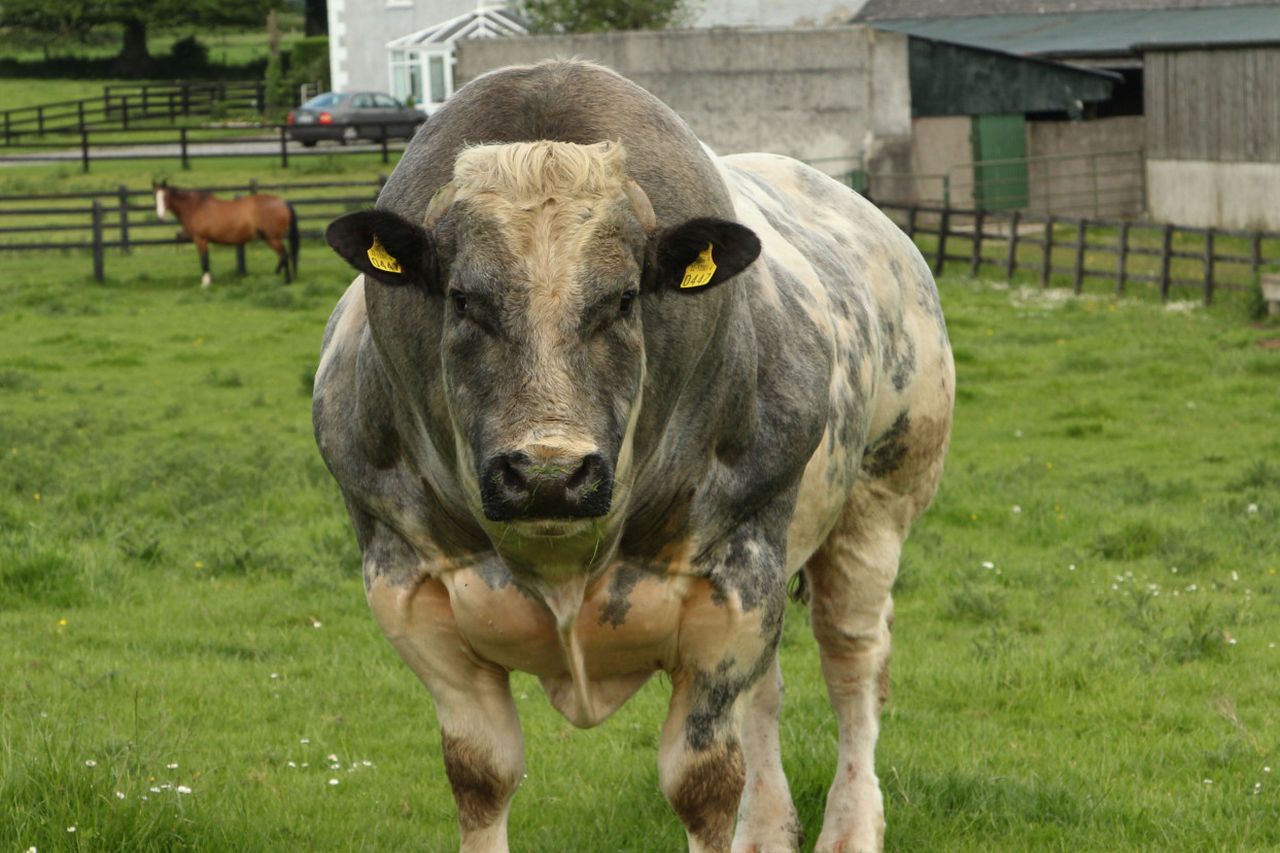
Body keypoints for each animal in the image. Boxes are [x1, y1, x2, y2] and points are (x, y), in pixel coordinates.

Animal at [315, 60, 953, 853]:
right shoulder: (409, 585)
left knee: (854, 668)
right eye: (462, 299)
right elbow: (481, 772)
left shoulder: (734, 579)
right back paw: (768, 827)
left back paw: (852, 825)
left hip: (875, 509)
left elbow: (704, 783)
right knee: (768, 693)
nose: (548, 475)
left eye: (622, 300)